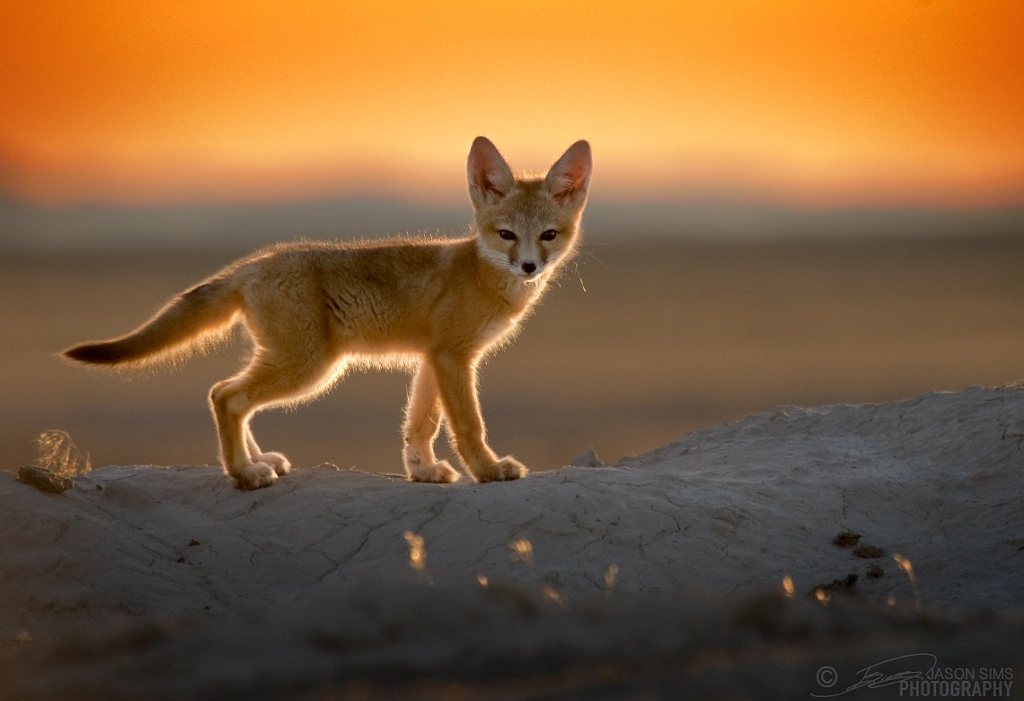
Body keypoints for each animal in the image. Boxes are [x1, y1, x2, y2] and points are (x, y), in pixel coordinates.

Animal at [63, 137, 593, 490]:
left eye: (548, 235)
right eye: (506, 234)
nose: (528, 266)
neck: (481, 273)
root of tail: (253, 263)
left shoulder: (432, 357)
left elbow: (419, 425)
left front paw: (422, 471)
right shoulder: (453, 357)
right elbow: (467, 425)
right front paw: (487, 470)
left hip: (295, 363)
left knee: (225, 393)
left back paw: (259, 461)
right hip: (310, 367)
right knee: (226, 397)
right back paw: (245, 474)